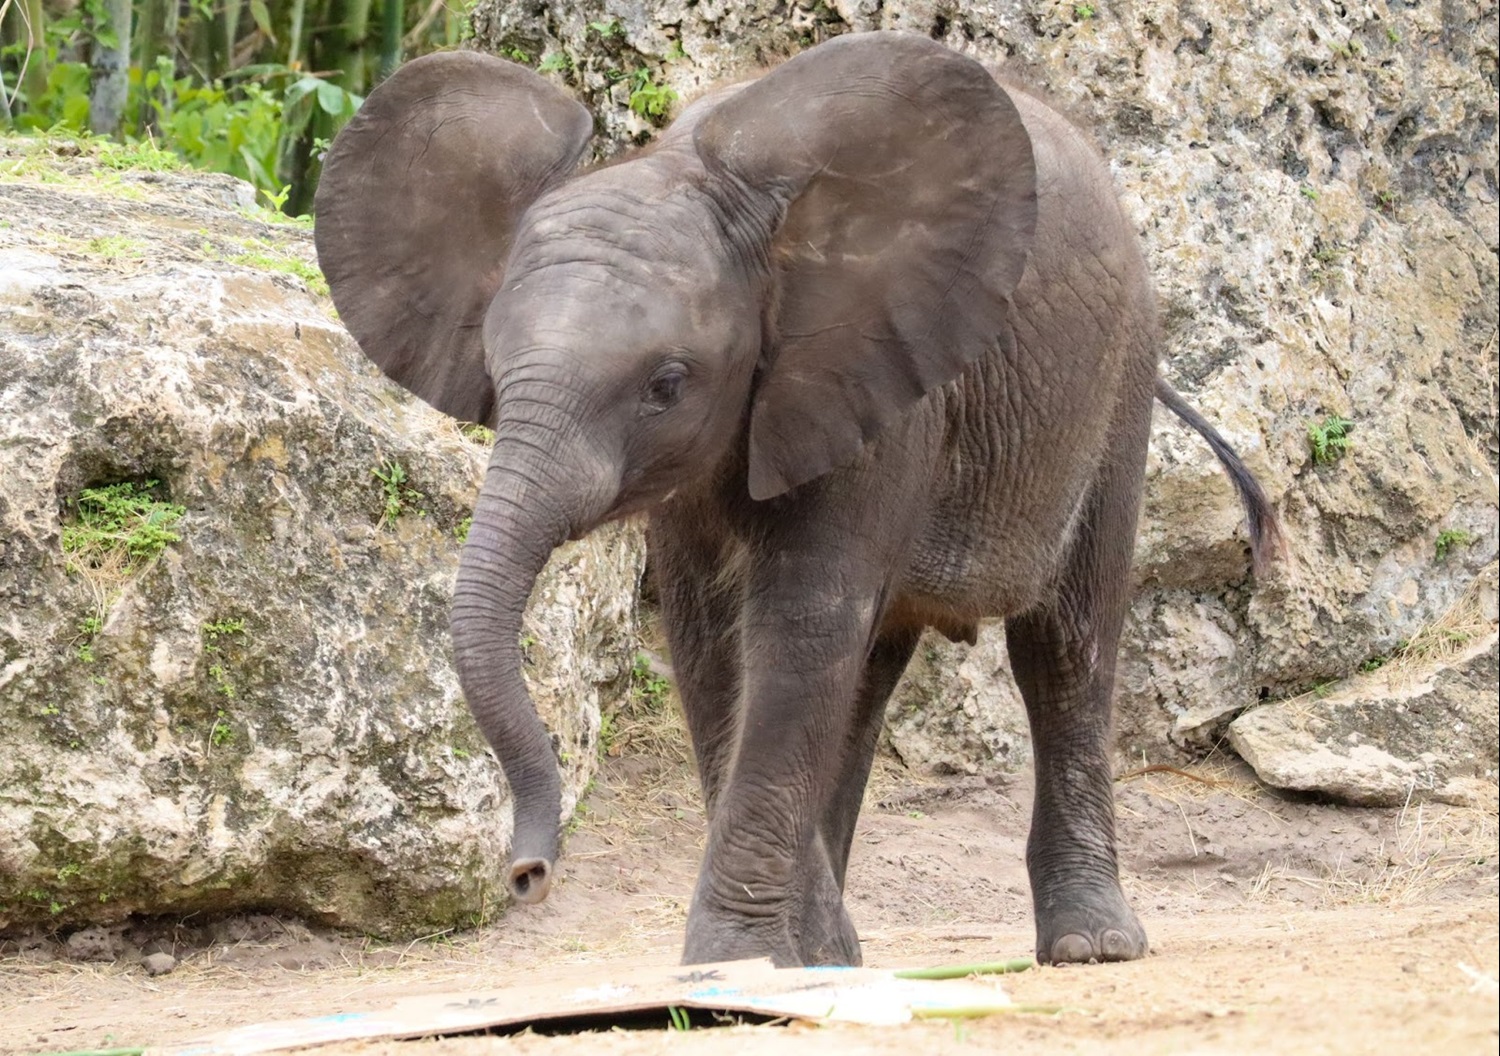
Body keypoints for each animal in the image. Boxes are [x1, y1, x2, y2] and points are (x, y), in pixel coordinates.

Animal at [314, 31, 1281, 969]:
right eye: (493, 365)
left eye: (667, 385)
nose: (527, 874)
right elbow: (715, 646)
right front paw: (789, 959)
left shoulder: (872, 376)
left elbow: (800, 626)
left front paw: (729, 964)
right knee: (868, 679)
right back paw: (834, 953)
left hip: (1119, 380)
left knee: (1064, 647)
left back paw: (1092, 947)